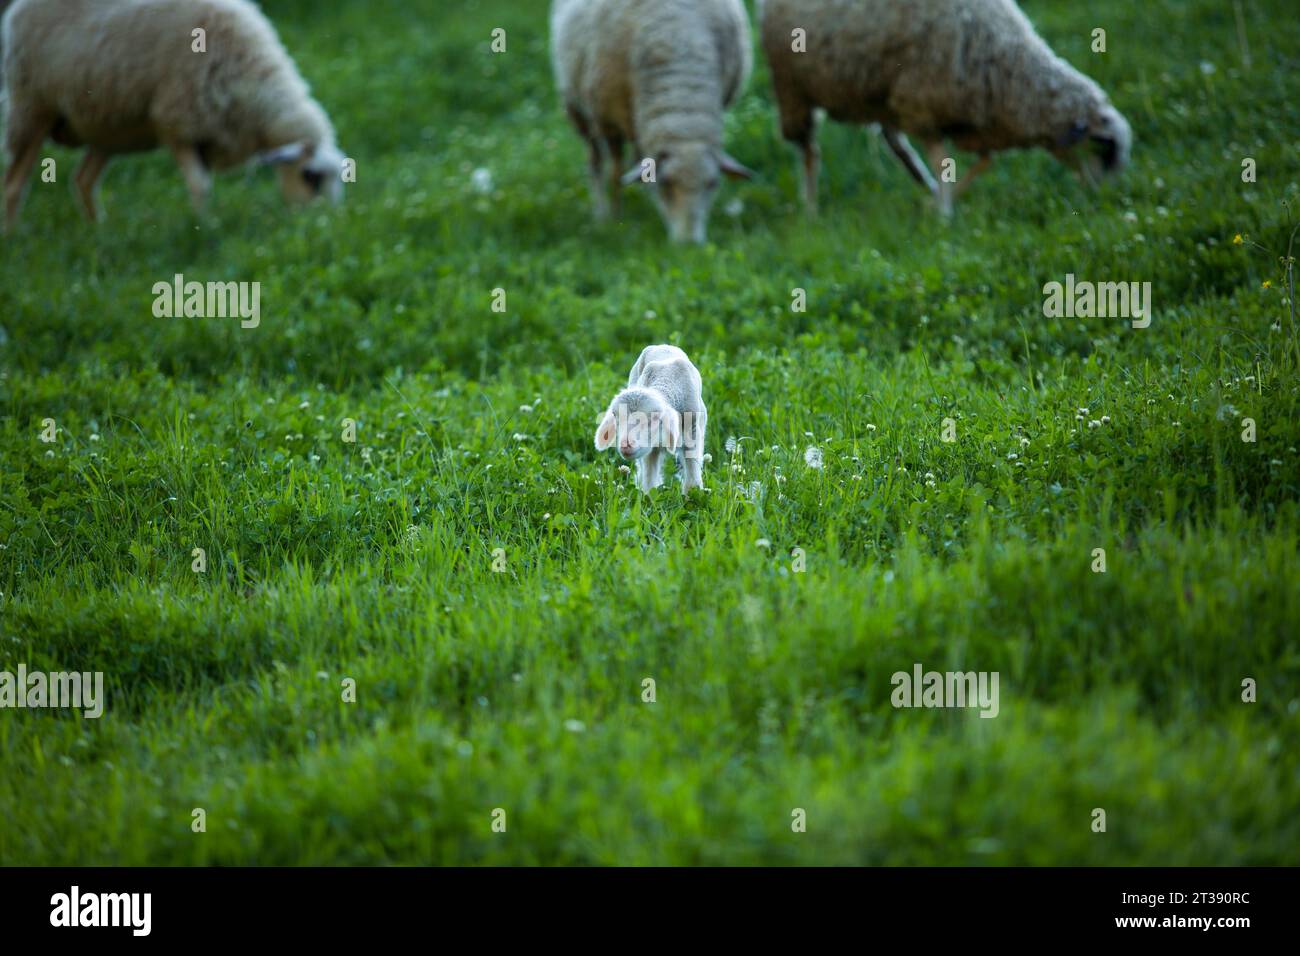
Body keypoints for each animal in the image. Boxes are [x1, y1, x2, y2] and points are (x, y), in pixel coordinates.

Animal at [1, 0, 345, 231]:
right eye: (310, 176)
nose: (324, 225)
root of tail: (17, 10)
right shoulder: (177, 122)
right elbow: (200, 185)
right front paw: (204, 229)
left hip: (106, 126)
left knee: (83, 180)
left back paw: (97, 232)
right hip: (33, 106)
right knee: (14, 184)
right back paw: (15, 235)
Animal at [550, 0, 756, 244]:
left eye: (713, 184)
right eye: (666, 183)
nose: (689, 245)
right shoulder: (607, 119)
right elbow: (615, 172)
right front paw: (615, 219)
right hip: (577, 106)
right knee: (595, 161)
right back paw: (600, 214)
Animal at [594, 344, 708, 494]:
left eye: (654, 418)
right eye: (615, 415)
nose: (626, 444)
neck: (667, 378)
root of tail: (662, 345)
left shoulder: (693, 431)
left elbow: (692, 478)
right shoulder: (651, 449)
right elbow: (649, 482)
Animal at [758, 0, 1132, 216]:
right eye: (1105, 149)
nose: (1106, 200)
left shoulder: (975, 119)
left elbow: (984, 159)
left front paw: (940, 200)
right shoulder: (923, 104)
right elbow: (942, 159)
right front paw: (944, 214)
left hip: (877, 92)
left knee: (893, 140)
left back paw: (923, 184)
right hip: (794, 87)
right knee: (809, 151)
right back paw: (810, 209)